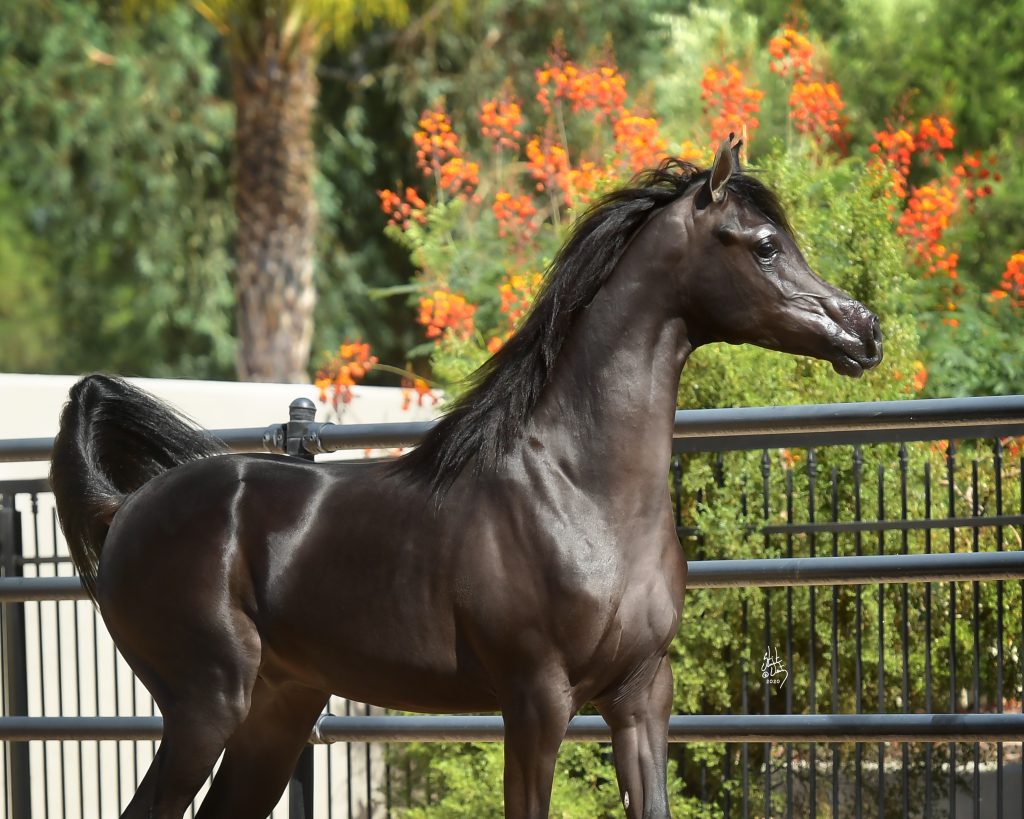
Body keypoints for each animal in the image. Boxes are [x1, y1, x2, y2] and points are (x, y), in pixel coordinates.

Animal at [50, 136, 882, 819]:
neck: (582, 493)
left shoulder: (643, 697)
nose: (864, 330)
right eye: (767, 245)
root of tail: (127, 509)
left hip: (276, 711)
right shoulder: (535, 700)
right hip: (205, 704)